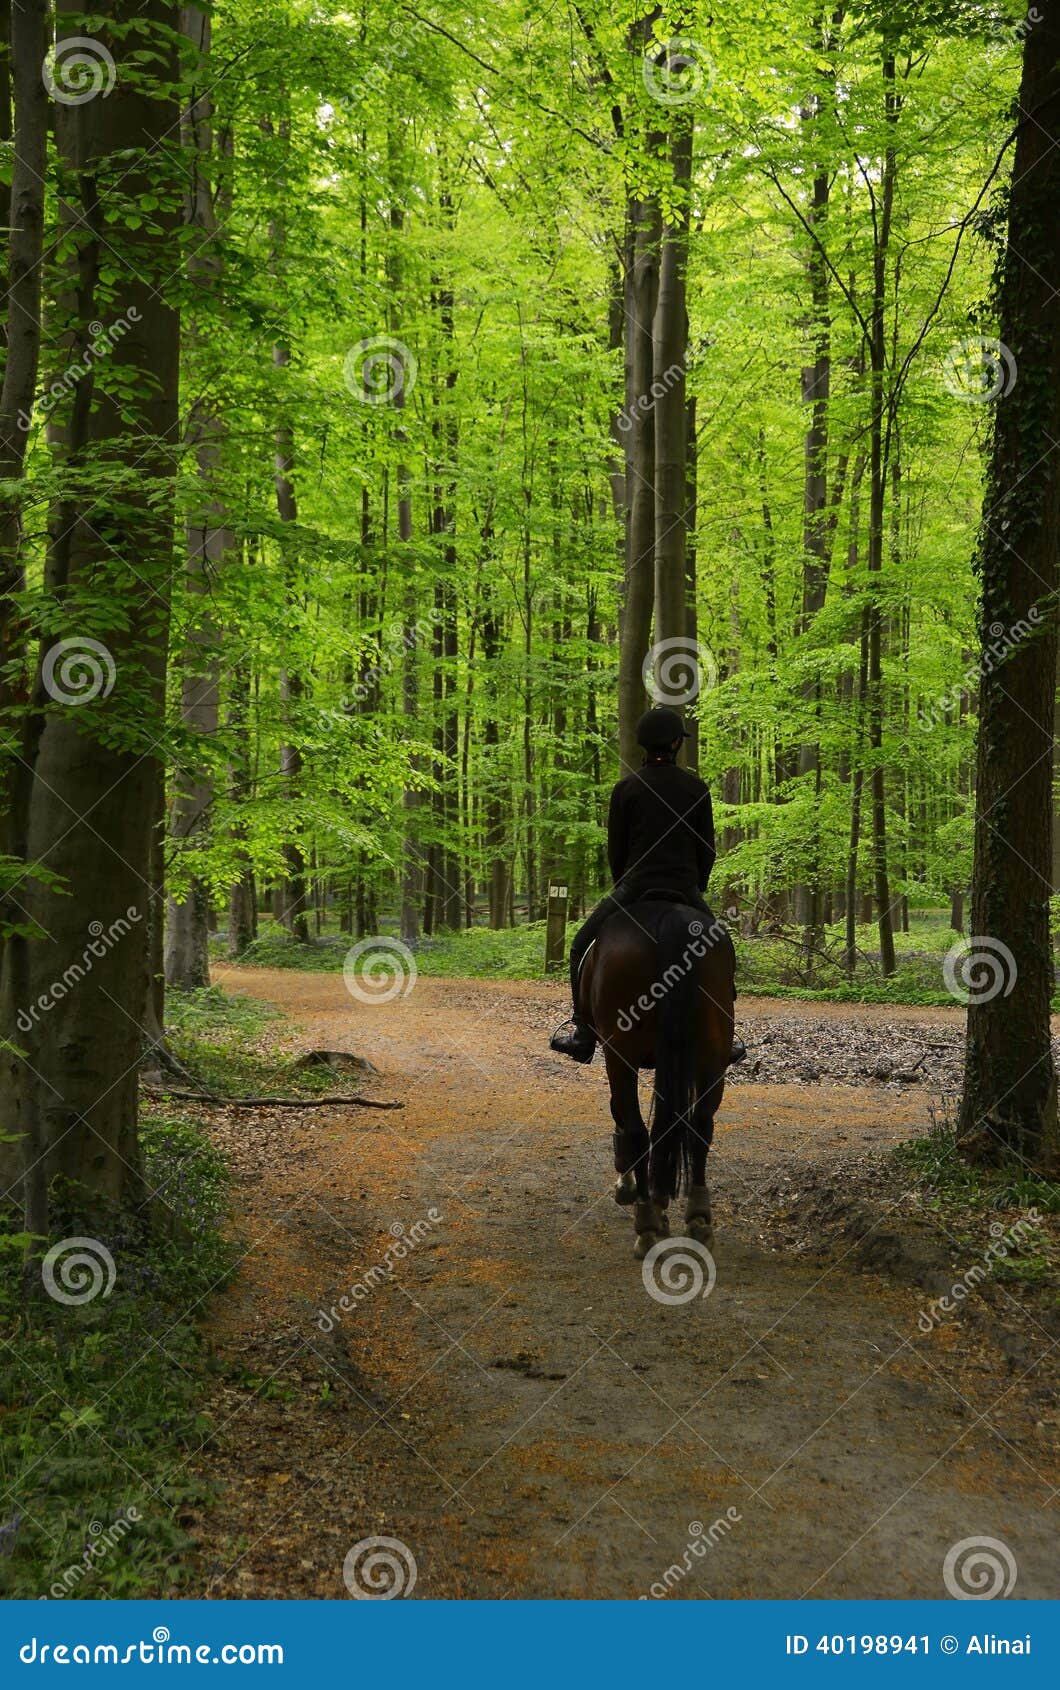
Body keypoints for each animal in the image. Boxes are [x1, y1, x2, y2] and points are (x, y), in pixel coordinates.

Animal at [580, 898, 736, 1259]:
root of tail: (670, 917)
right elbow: (666, 1127)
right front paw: (662, 1198)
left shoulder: (618, 1056)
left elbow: (622, 1114)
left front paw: (630, 1185)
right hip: (713, 1055)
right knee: (700, 1125)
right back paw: (697, 1218)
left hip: (621, 1053)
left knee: (637, 1130)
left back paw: (646, 1223)